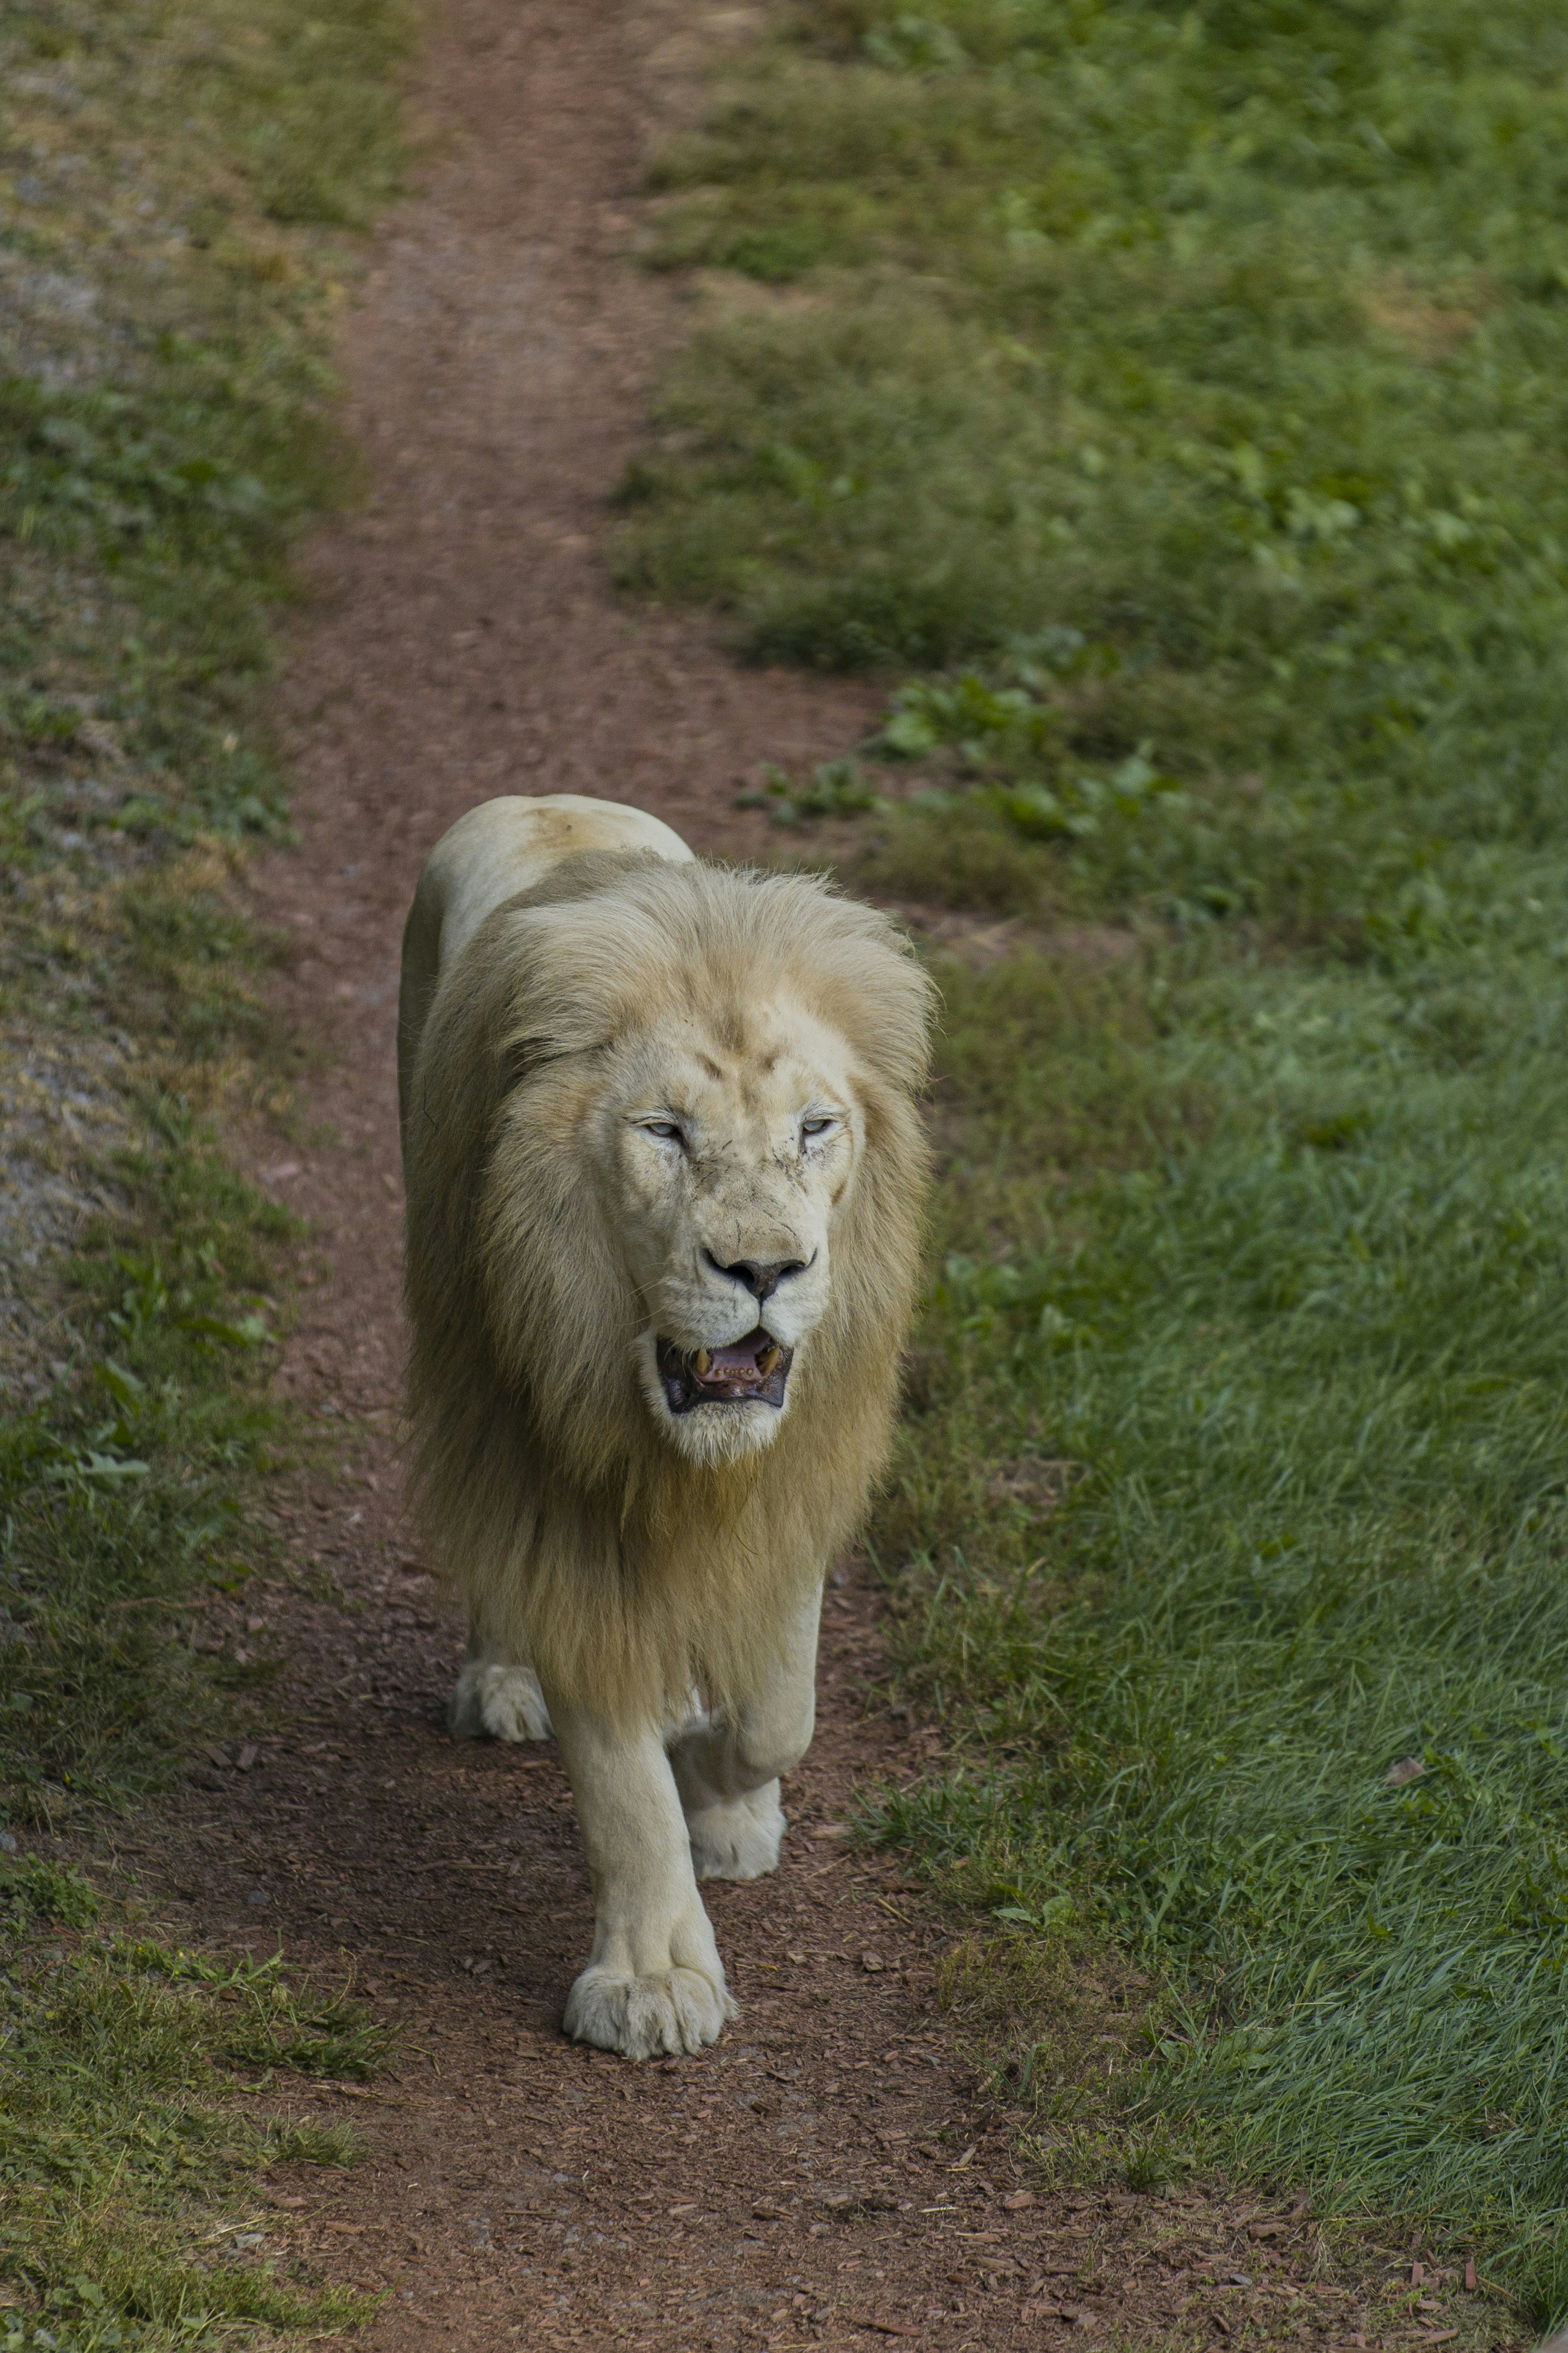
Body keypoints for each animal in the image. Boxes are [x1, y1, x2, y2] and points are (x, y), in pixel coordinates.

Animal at [398, 794, 932, 2060]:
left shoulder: (794, 1481)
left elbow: (782, 1710)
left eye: (815, 1127)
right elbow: (623, 1788)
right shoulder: (559, 1496)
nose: (765, 1269)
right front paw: (652, 1981)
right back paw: (505, 1680)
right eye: (663, 1132)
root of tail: (549, 800)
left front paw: (723, 1792)